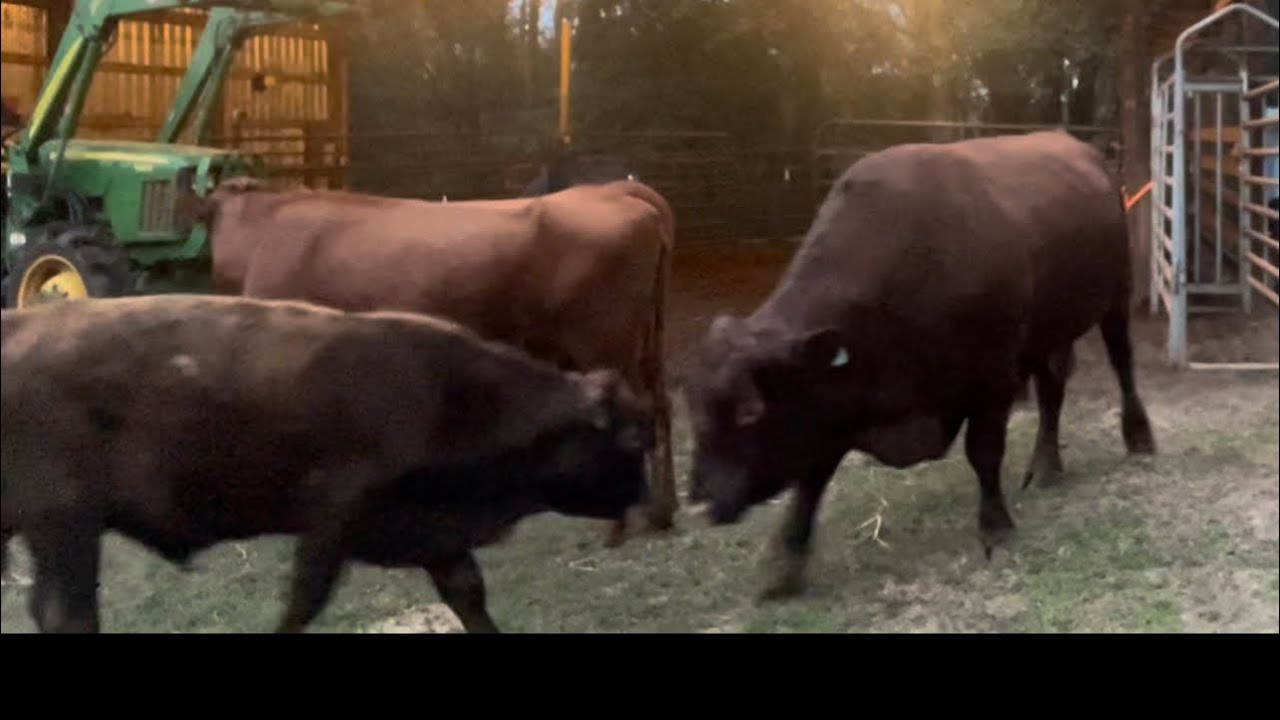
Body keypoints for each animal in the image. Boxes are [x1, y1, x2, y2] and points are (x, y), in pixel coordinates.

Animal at [0, 294, 653, 633]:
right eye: (632, 441)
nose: (646, 500)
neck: (456, 392)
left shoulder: (436, 535)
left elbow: (469, 593)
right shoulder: (330, 520)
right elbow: (303, 601)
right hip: (66, 526)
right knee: (67, 613)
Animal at [188, 177, 677, 547]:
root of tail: (611, 189)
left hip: (604, 340)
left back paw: (619, 526)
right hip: (644, 342)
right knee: (660, 406)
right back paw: (661, 513)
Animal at [682, 130, 1158, 600]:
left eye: (749, 412)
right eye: (694, 405)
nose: (700, 502)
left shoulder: (992, 379)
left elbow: (983, 453)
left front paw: (996, 527)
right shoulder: (832, 406)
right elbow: (811, 482)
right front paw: (785, 567)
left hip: (1115, 296)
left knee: (1122, 363)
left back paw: (1138, 437)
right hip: (1049, 332)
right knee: (1052, 393)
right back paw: (1045, 467)